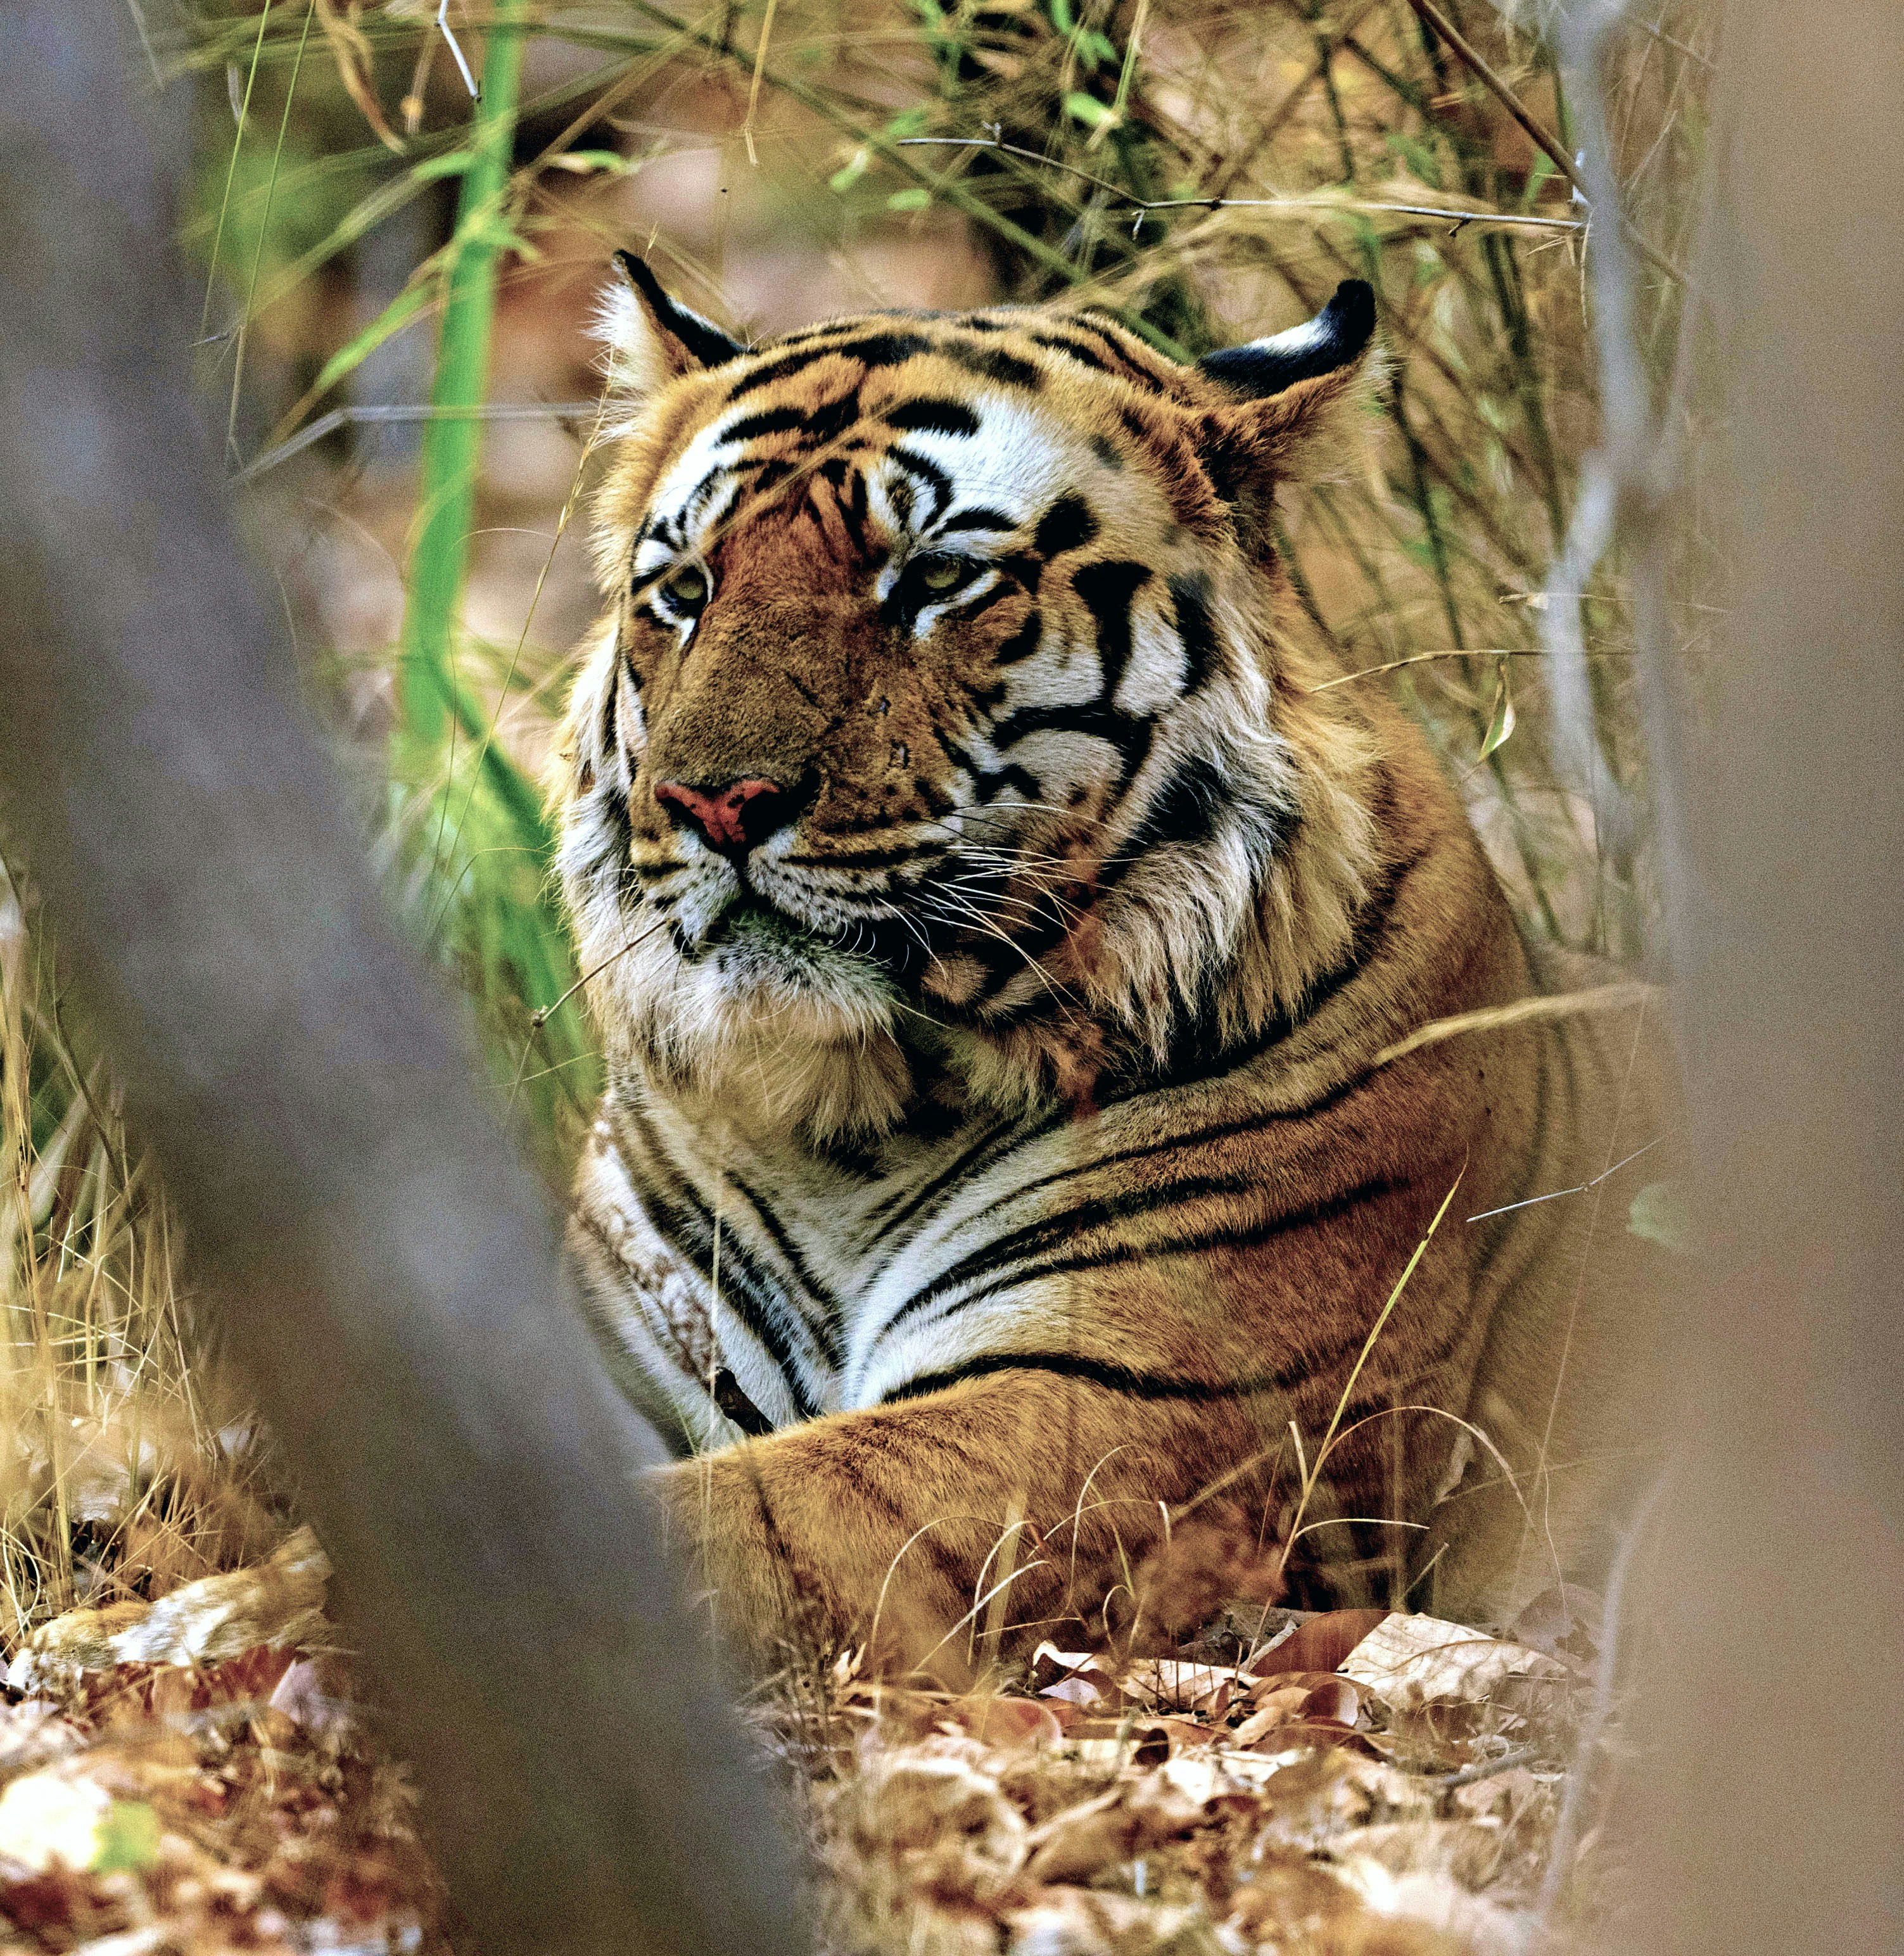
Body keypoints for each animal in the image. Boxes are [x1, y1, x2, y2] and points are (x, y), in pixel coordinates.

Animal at [553, 251, 1674, 1673]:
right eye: (687, 590)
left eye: (934, 580)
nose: (714, 801)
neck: (839, 1123)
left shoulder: (1099, 1403)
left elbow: (706, 1525)